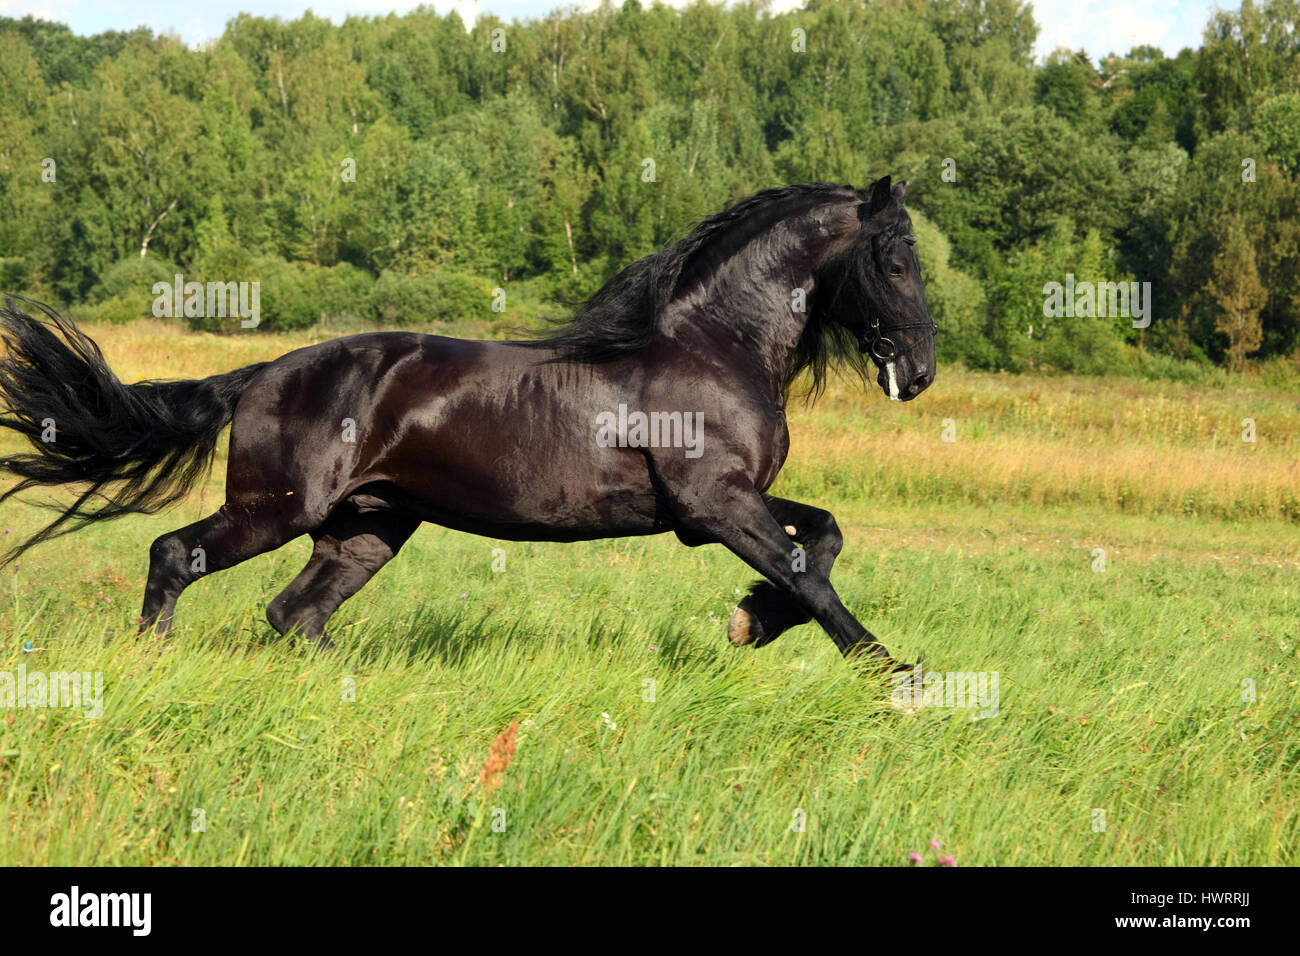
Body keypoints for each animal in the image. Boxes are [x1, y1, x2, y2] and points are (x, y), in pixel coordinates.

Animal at [0, 176, 935, 666]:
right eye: (895, 260)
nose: (920, 371)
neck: (716, 347)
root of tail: (265, 373)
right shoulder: (714, 504)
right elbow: (809, 573)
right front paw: (895, 676)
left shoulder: (725, 504)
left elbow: (824, 537)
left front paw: (751, 622)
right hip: (276, 510)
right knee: (176, 554)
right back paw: (149, 655)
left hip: (366, 528)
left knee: (295, 614)